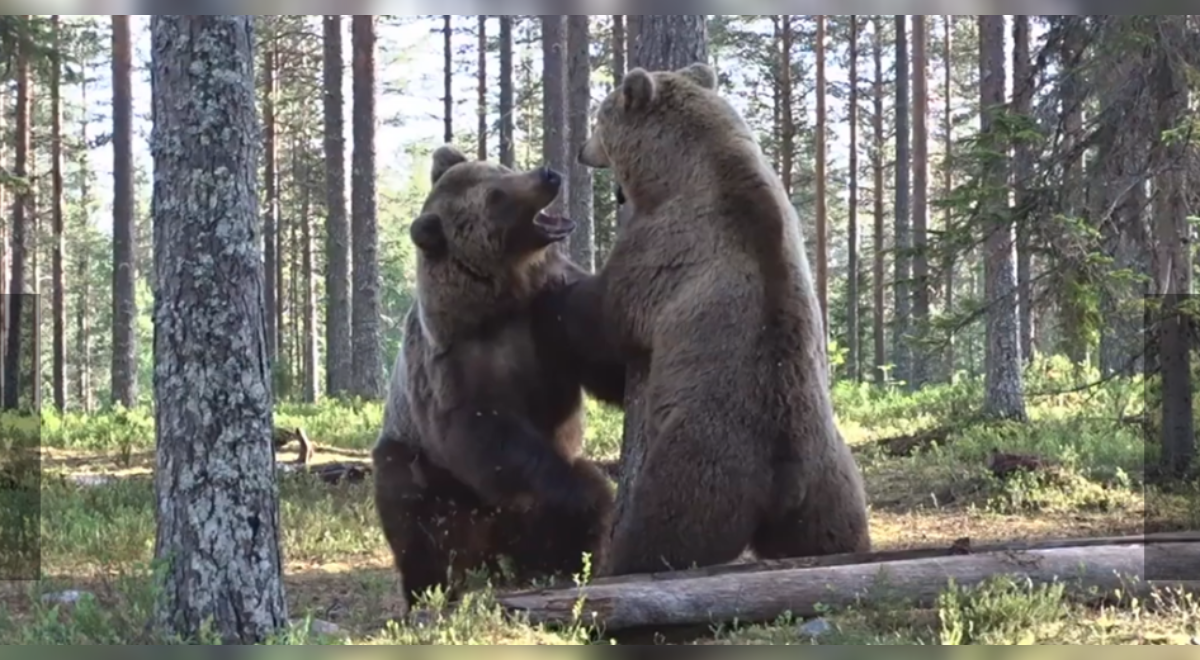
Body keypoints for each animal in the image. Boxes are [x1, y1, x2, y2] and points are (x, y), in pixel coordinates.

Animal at [371, 145, 625, 610]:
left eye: (502, 168)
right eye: (496, 197)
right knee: (419, 527)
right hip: (425, 474)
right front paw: (590, 496)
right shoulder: (456, 366)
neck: (504, 299)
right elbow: (488, 435)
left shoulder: (549, 318)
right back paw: (430, 589)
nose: (549, 175)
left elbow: (607, 359)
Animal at [558, 62, 872, 577]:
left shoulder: (664, 251)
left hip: (701, 464)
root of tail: (783, 479)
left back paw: (621, 563)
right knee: (835, 533)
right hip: (833, 482)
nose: (583, 150)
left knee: (662, 533)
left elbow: (609, 325)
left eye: (600, 116)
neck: (678, 169)